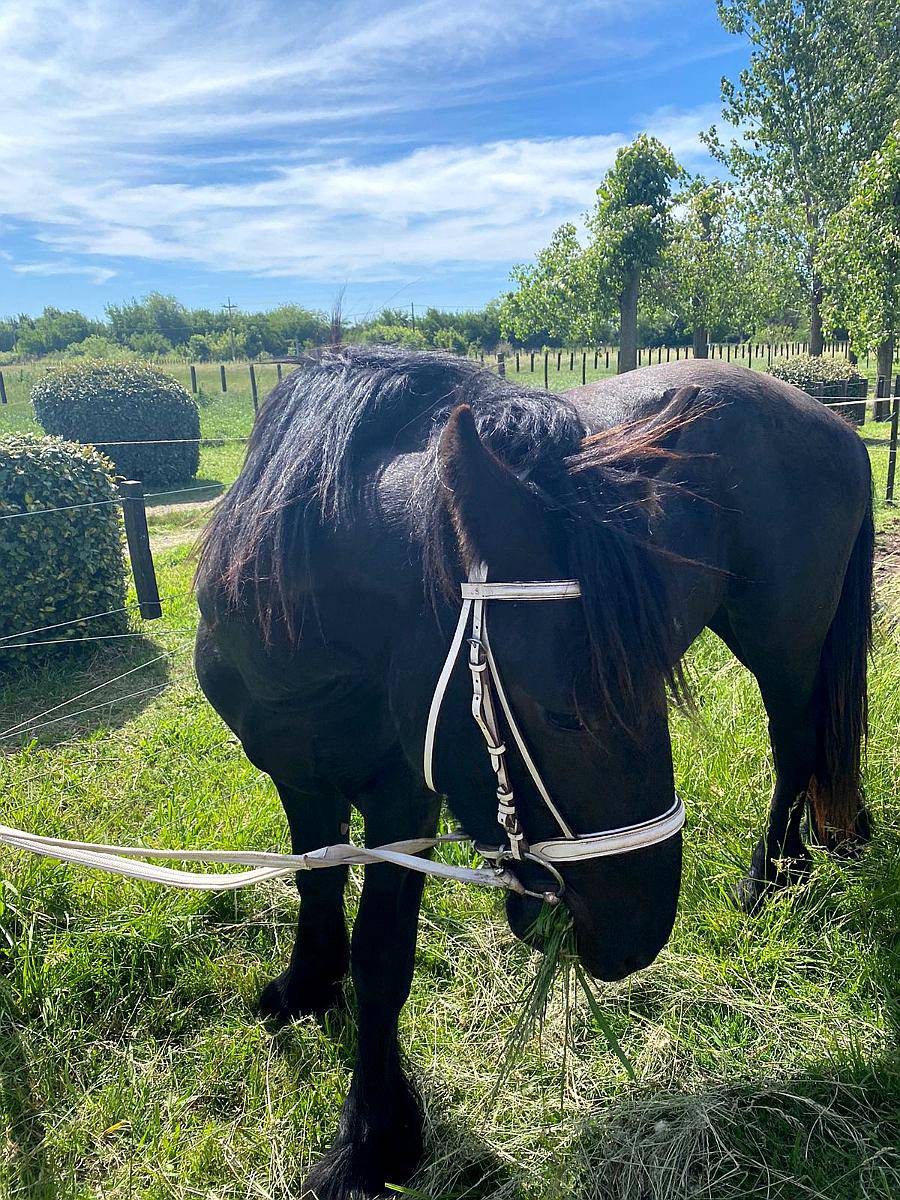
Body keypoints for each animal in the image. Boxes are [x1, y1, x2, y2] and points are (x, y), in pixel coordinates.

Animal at [194, 347, 872, 1199]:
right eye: (564, 713)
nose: (639, 939)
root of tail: (834, 422)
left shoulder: (404, 803)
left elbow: (384, 955)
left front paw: (370, 1139)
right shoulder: (294, 770)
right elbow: (315, 883)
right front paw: (308, 988)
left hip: (784, 640)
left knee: (796, 745)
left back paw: (772, 875)